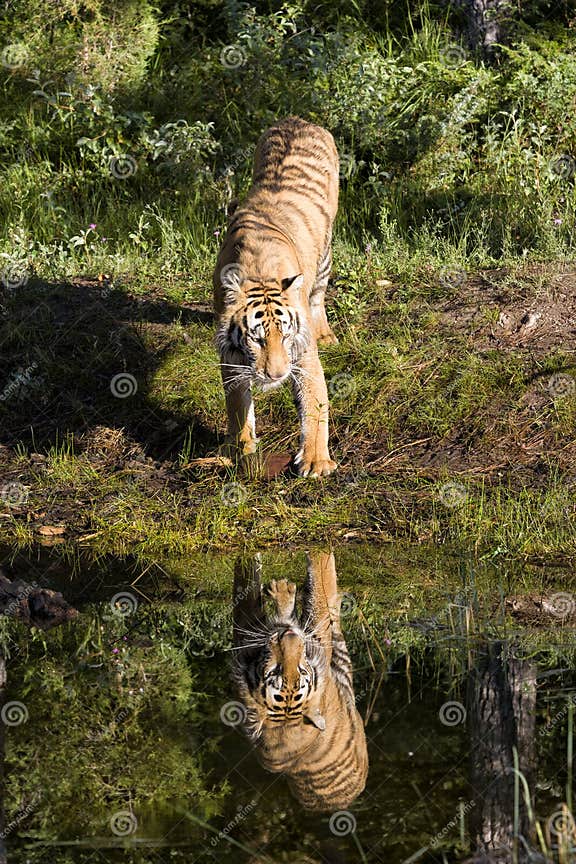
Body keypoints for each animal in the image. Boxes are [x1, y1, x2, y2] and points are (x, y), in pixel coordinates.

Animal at [213, 116, 340, 478]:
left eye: (284, 336)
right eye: (256, 339)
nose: (276, 376)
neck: (258, 271)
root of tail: (298, 118)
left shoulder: (303, 351)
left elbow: (315, 402)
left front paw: (316, 460)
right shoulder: (230, 355)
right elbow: (236, 403)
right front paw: (240, 447)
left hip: (325, 254)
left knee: (318, 295)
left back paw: (327, 333)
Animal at [232, 551, 368, 812]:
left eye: (301, 671)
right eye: (273, 672)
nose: (290, 636)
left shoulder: (246, 630)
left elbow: (245, 589)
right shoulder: (318, 630)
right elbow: (320, 585)